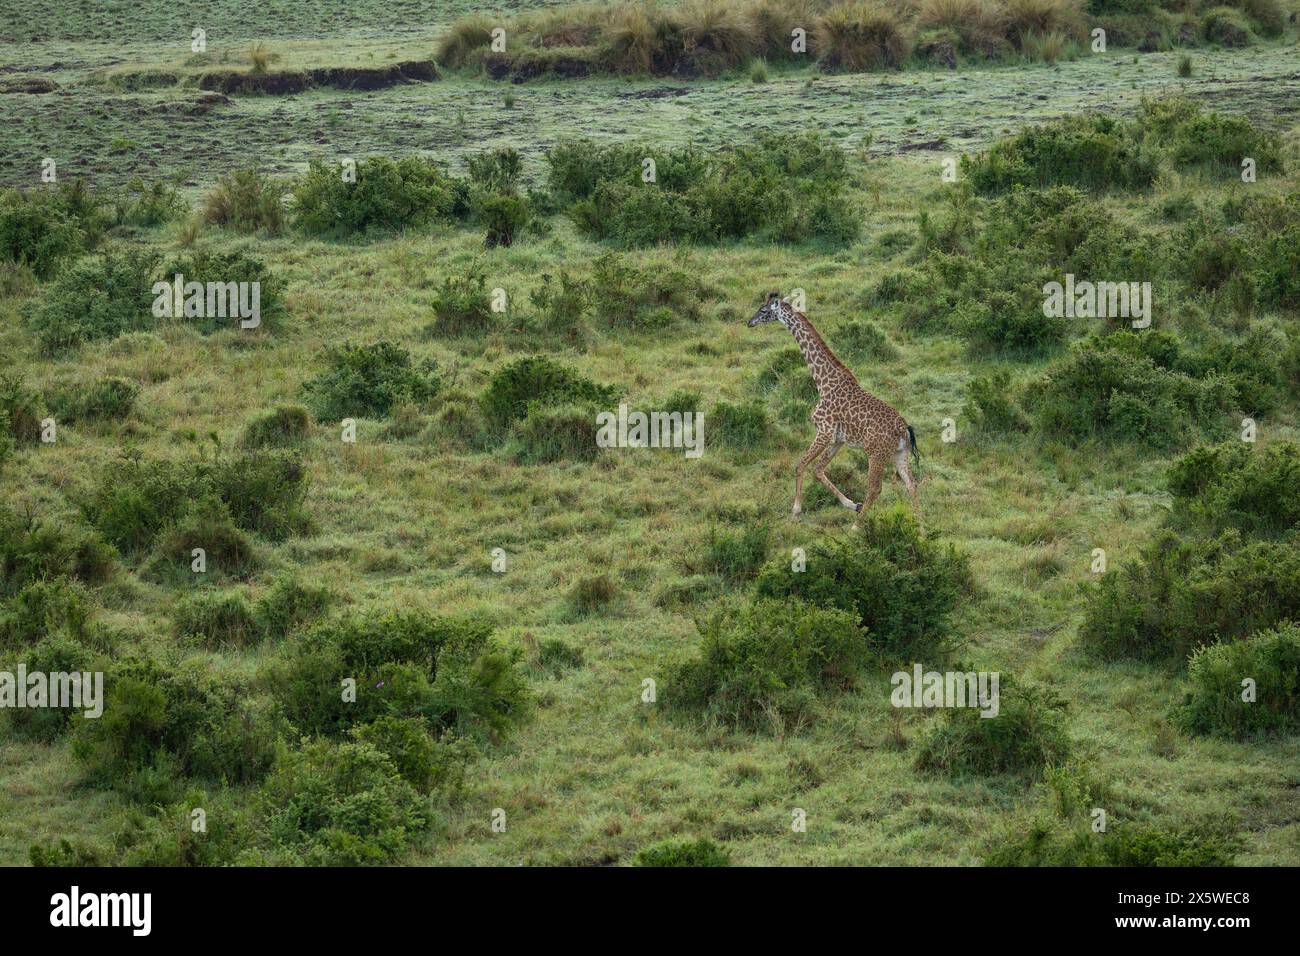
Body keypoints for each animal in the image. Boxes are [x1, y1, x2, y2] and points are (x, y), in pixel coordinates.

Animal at [748, 291, 921, 522]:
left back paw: (857, 525)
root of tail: (904, 428)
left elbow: (800, 465)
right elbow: (818, 470)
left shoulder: (824, 432)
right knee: (912, 485)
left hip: (876, 454)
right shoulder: (837, 439)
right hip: (899, 454)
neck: (823, 381)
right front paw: (852, 504)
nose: (750, 322)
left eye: (764, 310)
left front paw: (796, 511)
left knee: (875, 488)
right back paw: (919, 525)